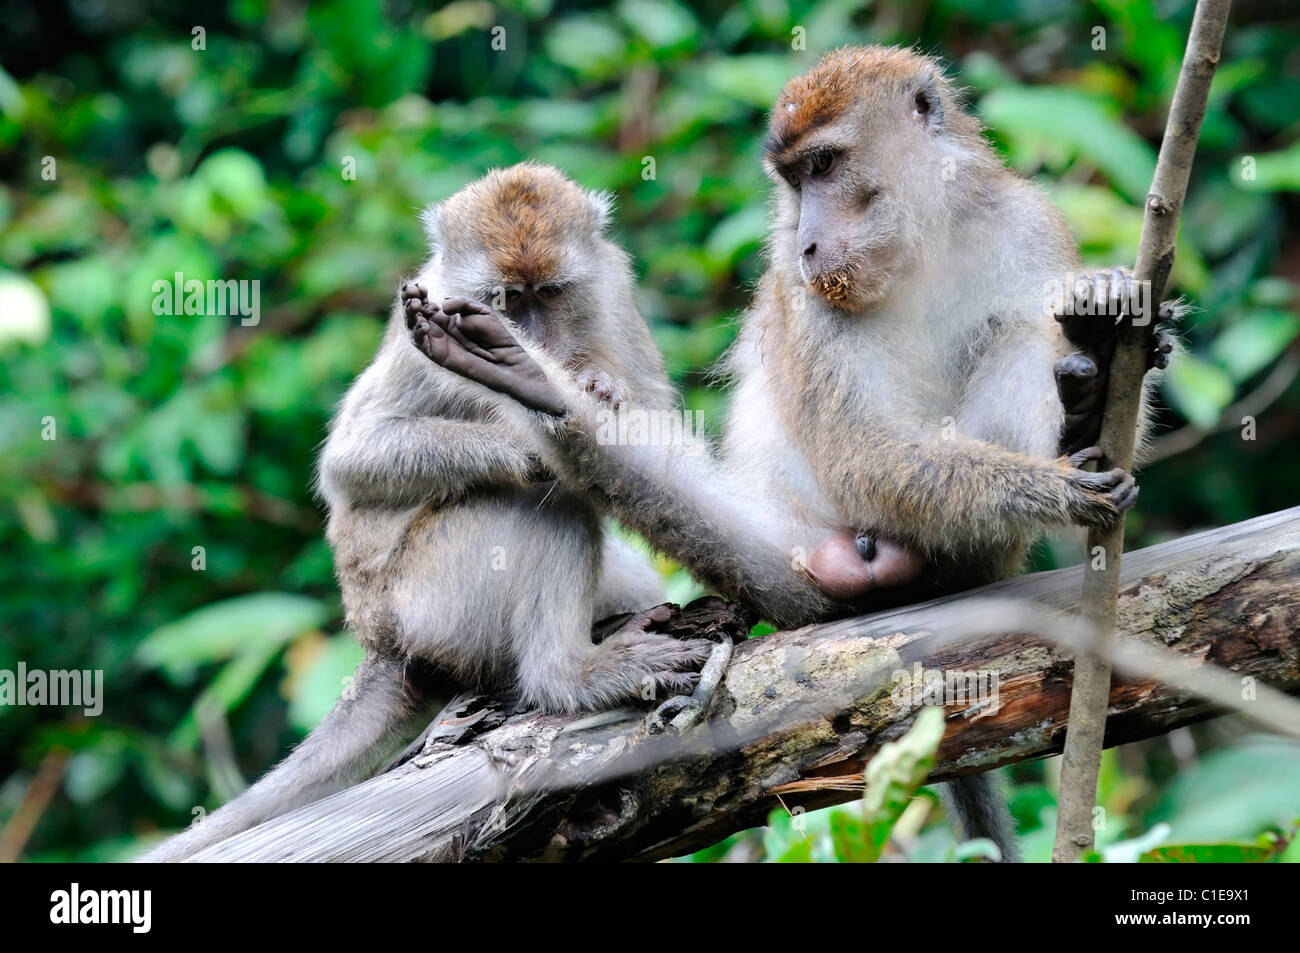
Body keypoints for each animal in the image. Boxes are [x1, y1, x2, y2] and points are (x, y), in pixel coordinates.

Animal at [141, 162, 716, 862]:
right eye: (505, 300)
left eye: (550, 294)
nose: (532, 345)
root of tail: (381, 640)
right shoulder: (424, 320)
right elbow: (353, 458)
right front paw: (530, 442)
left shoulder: (612, 290)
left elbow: (651, 419)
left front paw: (600, 391)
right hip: (434, 601)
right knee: (543, 499)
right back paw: (567, 676)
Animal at [412, 48, 1177, 862]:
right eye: (793, 181)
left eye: (825, 164)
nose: (808, 240)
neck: (924, 237)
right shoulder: (810, 293)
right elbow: (863, 456)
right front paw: (1056, 487)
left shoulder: (1027, 225)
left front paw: (1111, 343)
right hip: (792, 560)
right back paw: (542, 395)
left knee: (1021, 334)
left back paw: (1086, 376)